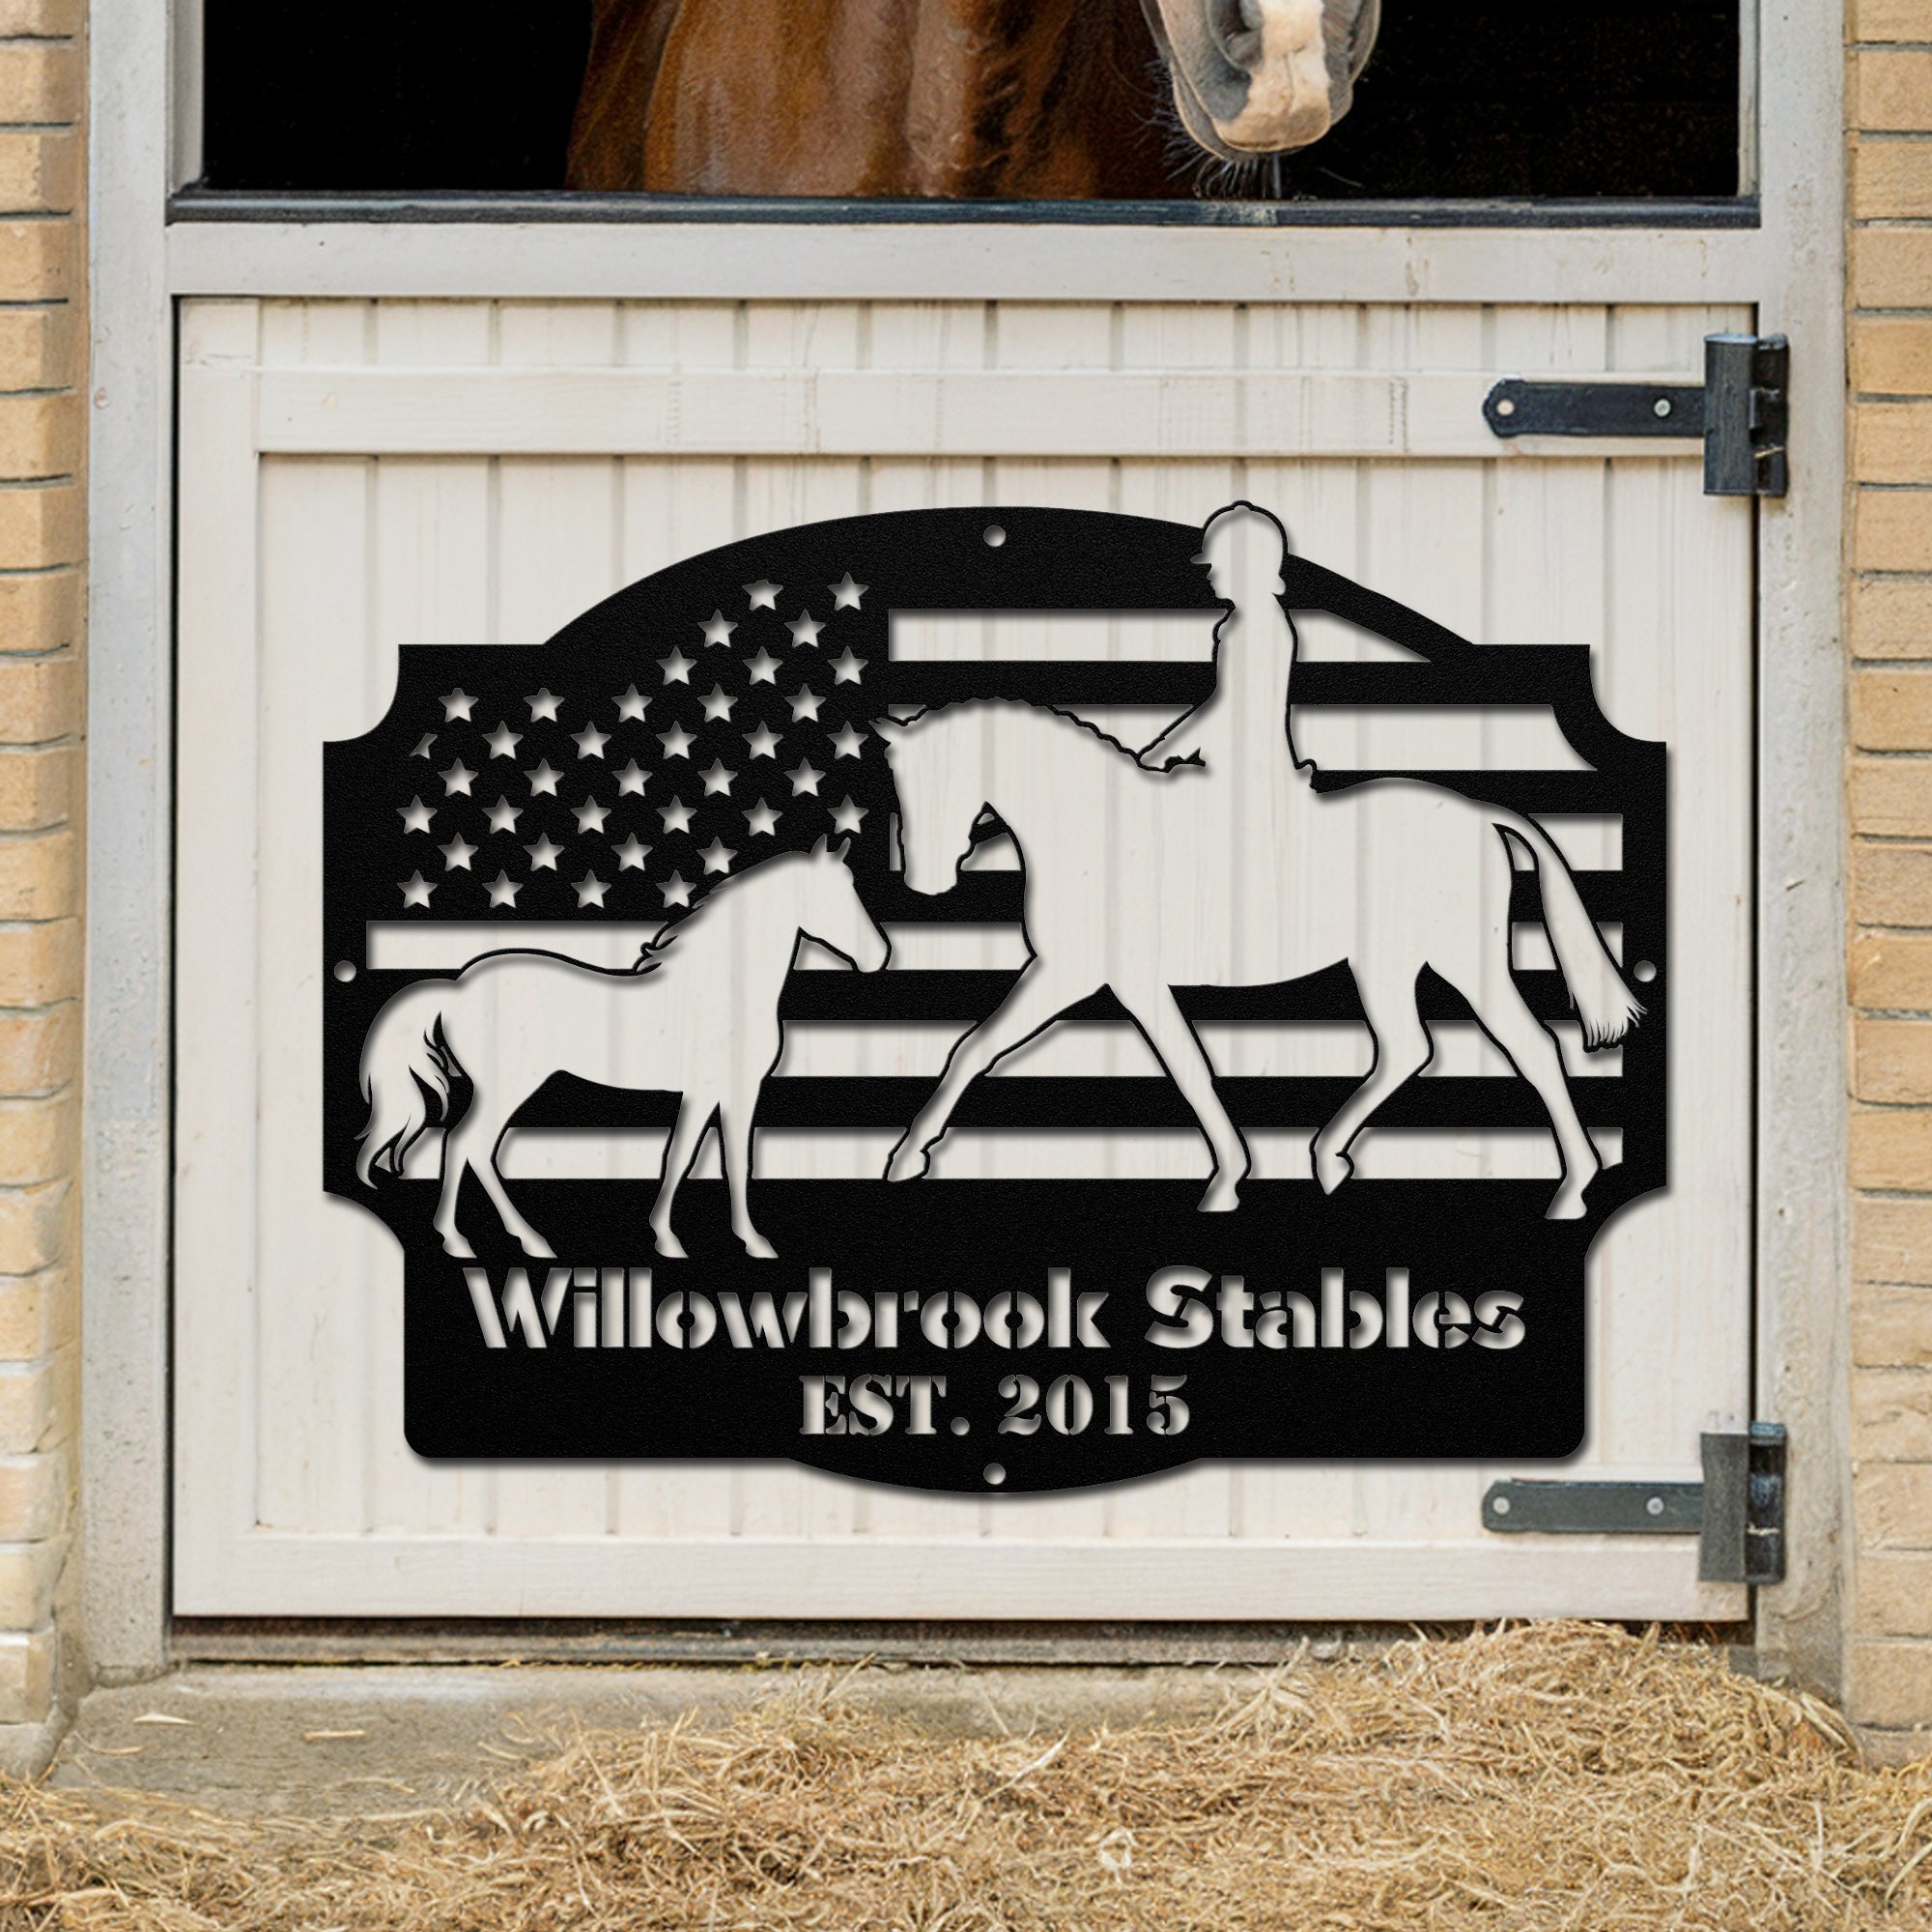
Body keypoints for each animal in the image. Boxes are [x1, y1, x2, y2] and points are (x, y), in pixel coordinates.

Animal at [355, 838, 890, 1261]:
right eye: (839, 895)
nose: (881, 957)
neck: (719, 988)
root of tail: (459, 986)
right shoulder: (734, 1089)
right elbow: (719, 1160)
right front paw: (739, 1243)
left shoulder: (710, 1092)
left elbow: (692, 1156)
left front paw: (675, 1238)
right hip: (513, 1085)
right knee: (471, 1145)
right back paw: (506, 1241)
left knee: (468, 1148)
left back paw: (484, 1239)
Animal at [875, 701, 1641, 1221]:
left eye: (935, 781)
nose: (924, 884)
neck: (1098, 831)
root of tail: (1481, 811)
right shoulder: (1096, 976)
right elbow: (981, 1048)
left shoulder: (1091, 975)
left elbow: (1174, 1066)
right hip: (1388, 962)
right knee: (1411, 1048)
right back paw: (1330, 1161)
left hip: (1457, 959)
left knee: (1527, 1047)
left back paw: (1571, 1188)